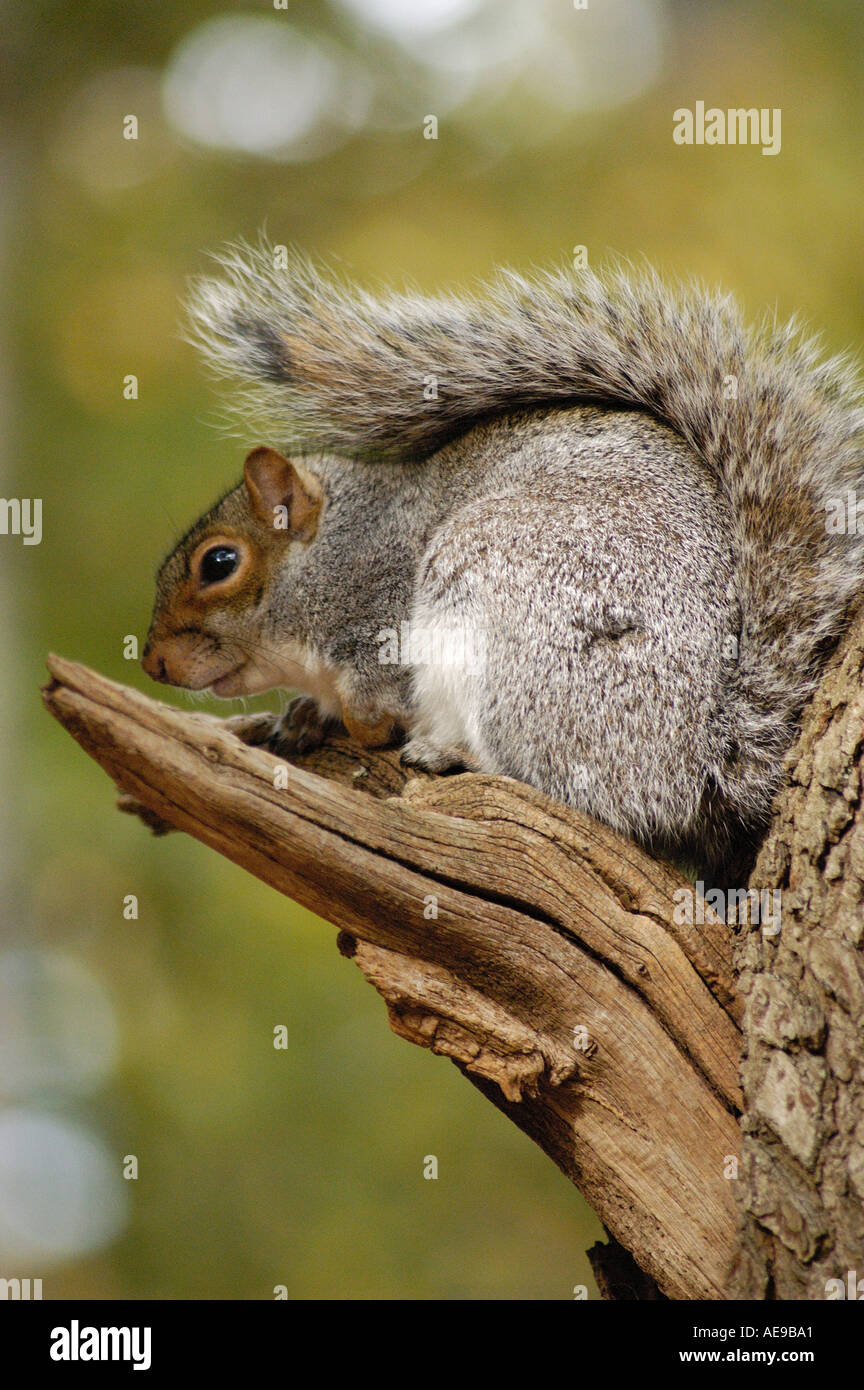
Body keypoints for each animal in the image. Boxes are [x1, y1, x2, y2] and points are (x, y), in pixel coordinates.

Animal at [142, 242, 864, 879]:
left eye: (219, 563)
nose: (150, 662)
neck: (343, 544)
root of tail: (696, 768)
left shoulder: (381, 619)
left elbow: (374, 704)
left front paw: (352, 723)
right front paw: (300, 716)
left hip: (510, 630)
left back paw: (449, 752)